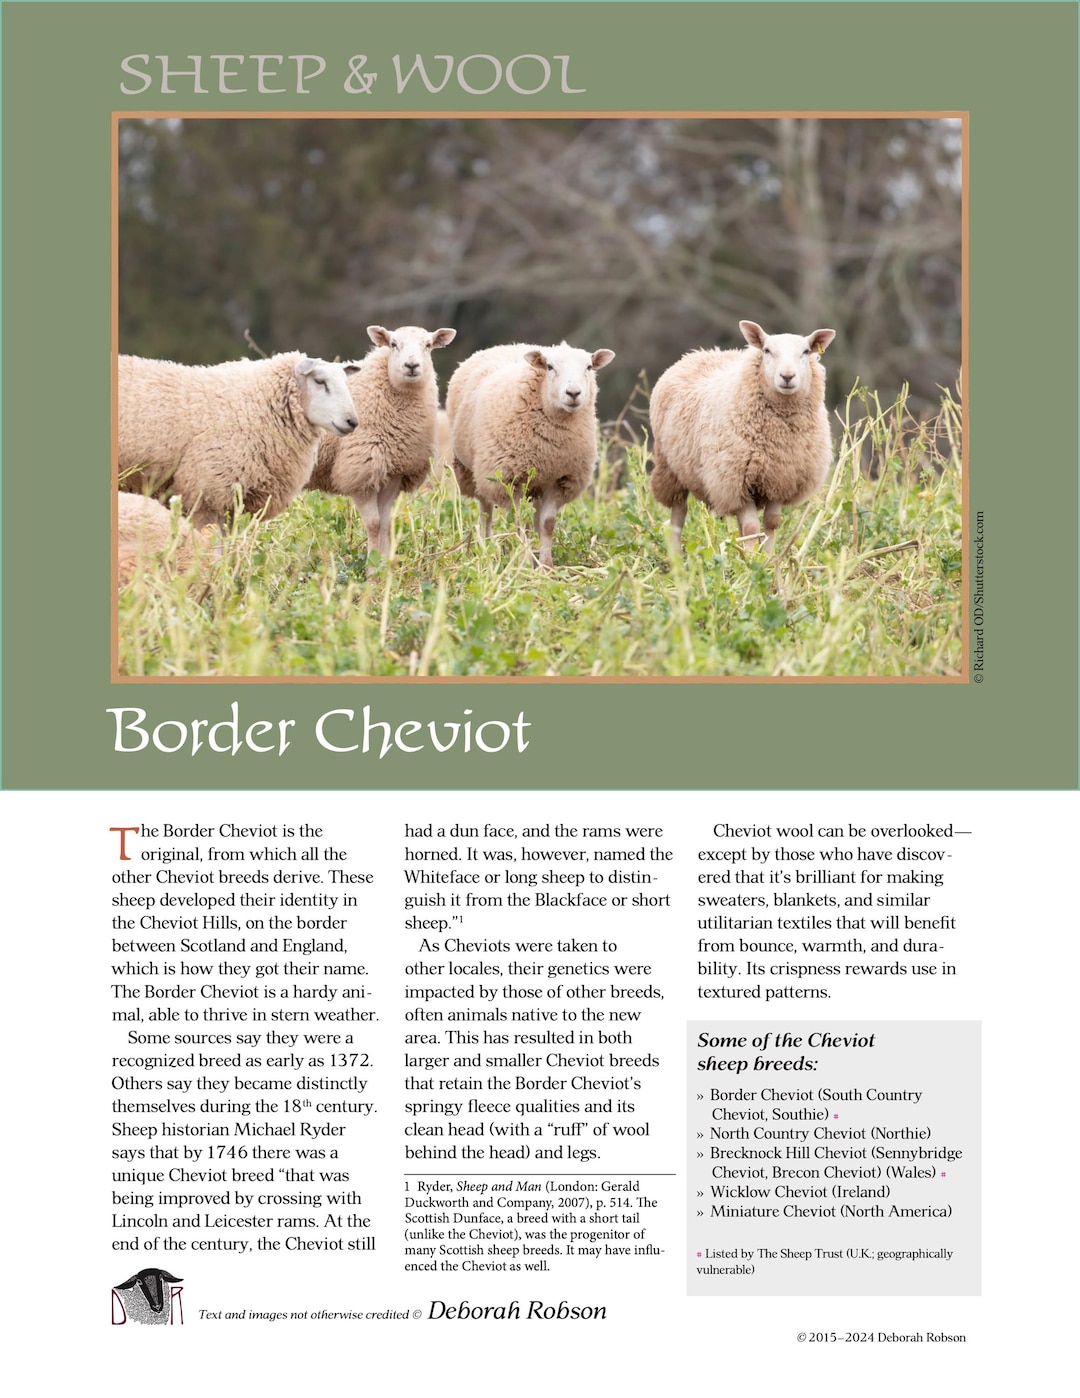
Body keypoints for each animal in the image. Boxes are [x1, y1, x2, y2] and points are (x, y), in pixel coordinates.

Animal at [306, 325, 456, 555]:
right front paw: (372, 562)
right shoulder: (360, 472)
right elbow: (374, 524)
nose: (411, 366)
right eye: (393, 344)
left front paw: (385, 562)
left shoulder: (393, 474)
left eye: (428, 345)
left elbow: (386, 523)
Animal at [446, 340, 615, 568]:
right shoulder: (511, 479)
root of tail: (508, 345)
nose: (573, 393)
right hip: (476, 471)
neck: (552, 445)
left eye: (589, 367)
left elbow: (547, 524)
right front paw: (525, 564)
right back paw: (486, 547)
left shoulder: (560, 479)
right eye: (550, 367)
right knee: (486, 511)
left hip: (536, 483)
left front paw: (545, 565)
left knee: (534, 517)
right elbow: (520, 523)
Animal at [650, 321, 836, 552]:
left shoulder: (781, 477)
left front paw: (768, 556)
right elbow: (751, 527)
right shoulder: (735, 480)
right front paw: (753, 558)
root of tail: (700, 353)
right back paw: (675, 555)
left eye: (805, 351)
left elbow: (770, 523)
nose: (787, 376)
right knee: (678, 513)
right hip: (670, 469)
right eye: (767, 350)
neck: (779, 434)